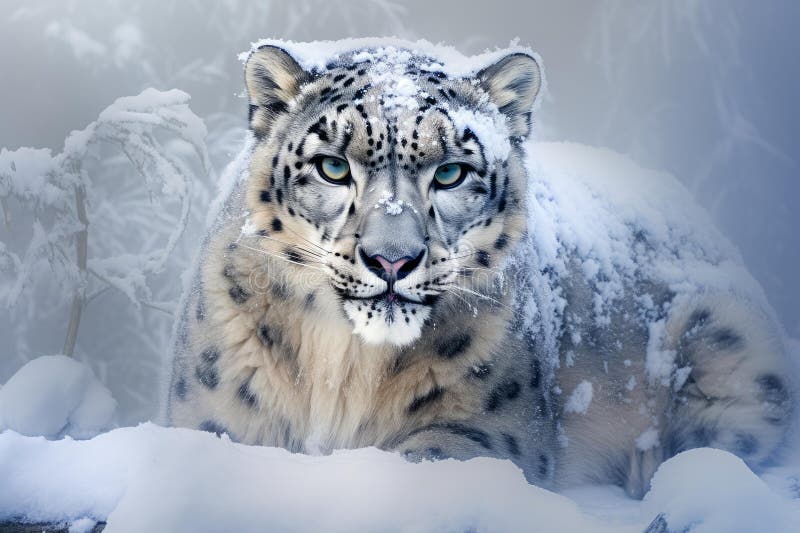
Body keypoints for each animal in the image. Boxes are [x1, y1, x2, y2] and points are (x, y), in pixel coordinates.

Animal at [166, 40, 795, 499]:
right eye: (333, 166)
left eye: (450, 173)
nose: (392, 258)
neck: (343, 368)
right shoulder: (211, 417)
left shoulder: (487, 434)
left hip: (727, 337)